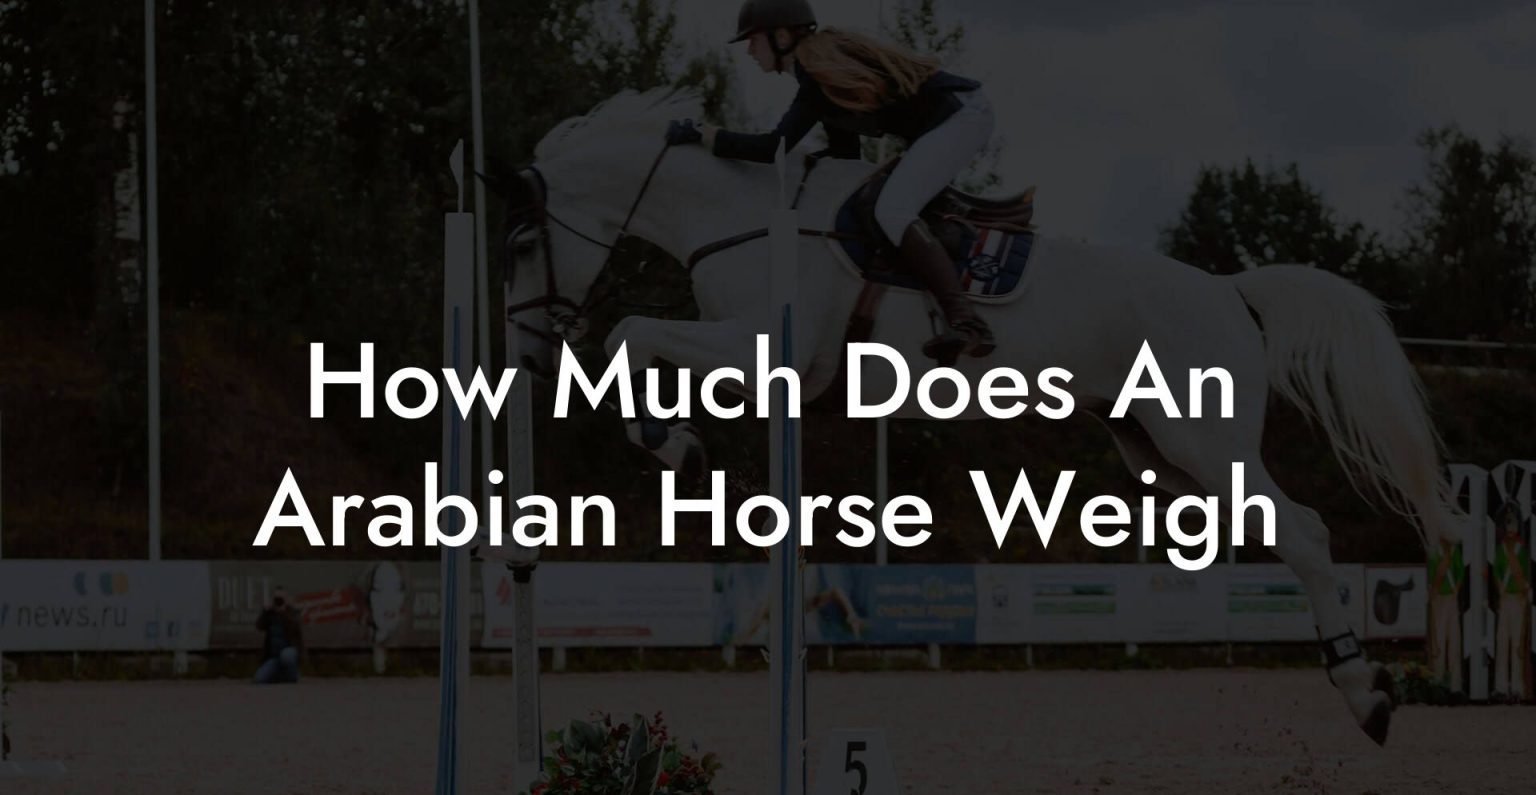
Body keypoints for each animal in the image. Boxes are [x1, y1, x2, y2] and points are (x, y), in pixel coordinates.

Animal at [490, 88, 1462, 745]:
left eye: (525, 241)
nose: (529, 352)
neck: (739, 217)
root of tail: (1229, 291)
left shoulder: (766, 347)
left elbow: (629, 330)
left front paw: (671, 443)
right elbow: (642, 344)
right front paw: (677, 444)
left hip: (1204, 439)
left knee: (1304, 532)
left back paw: (1367, 692)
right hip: (1159, 450)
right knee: (1278, 529)